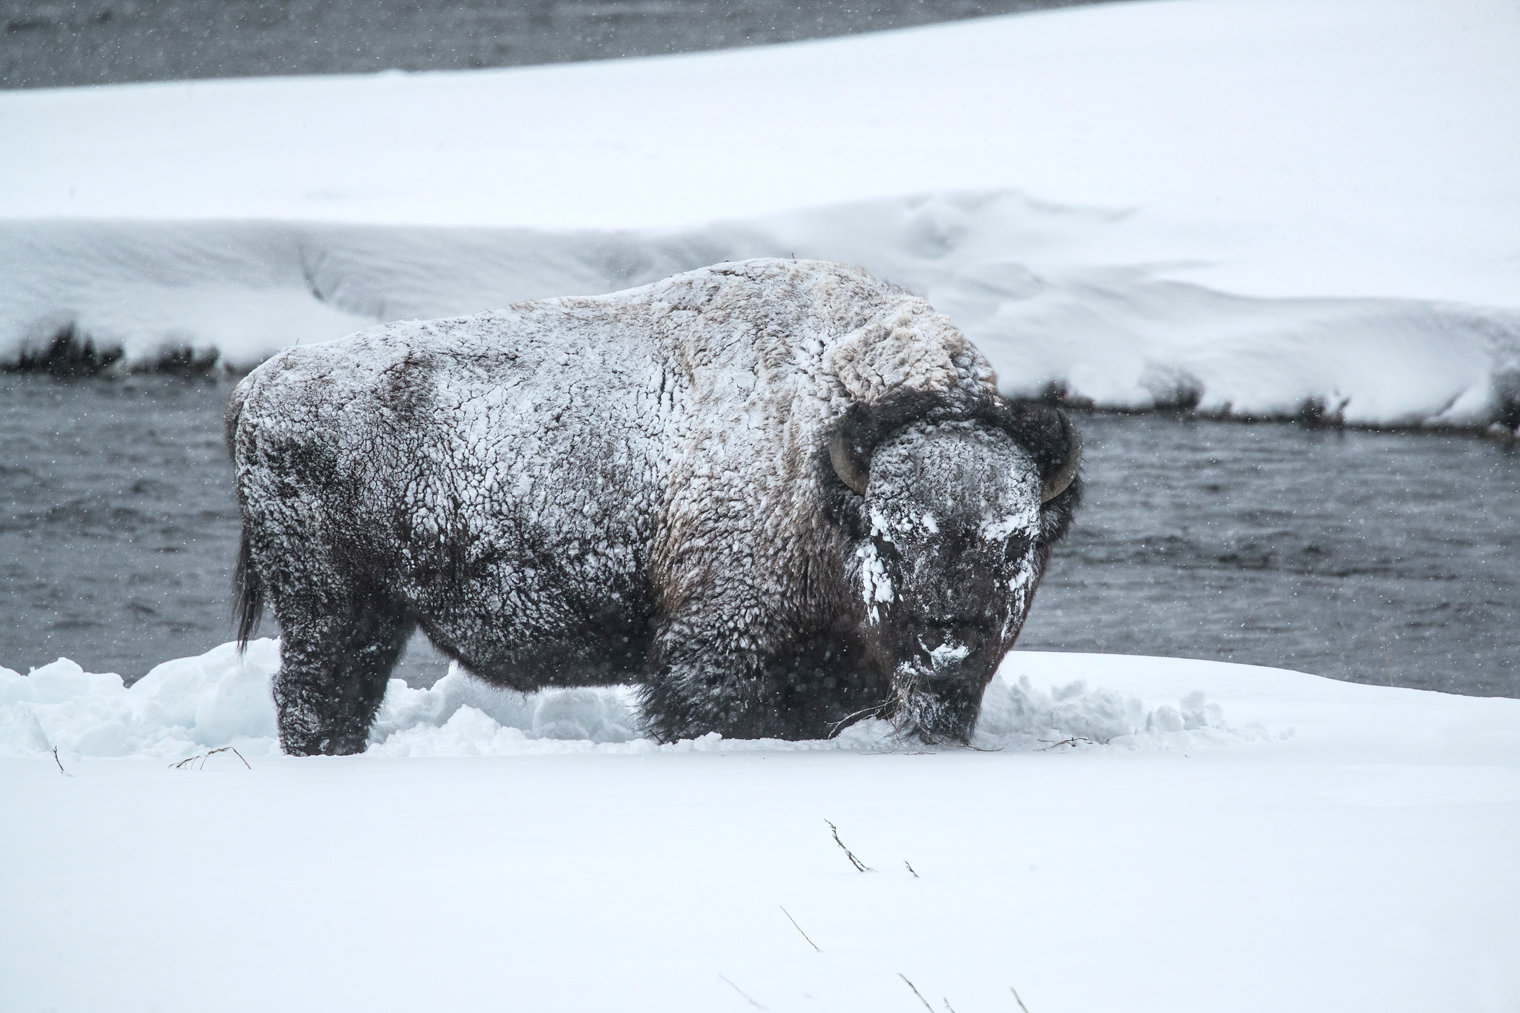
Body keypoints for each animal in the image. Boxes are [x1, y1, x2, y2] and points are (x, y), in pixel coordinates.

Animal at [227, 259, 1081, 754]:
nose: (949, 639)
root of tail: (260, 385)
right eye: (891, 538)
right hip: (332, 609)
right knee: (316, 696)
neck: (825, 466)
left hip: (367, 615)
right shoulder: (717, 650)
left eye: (1016, 542)